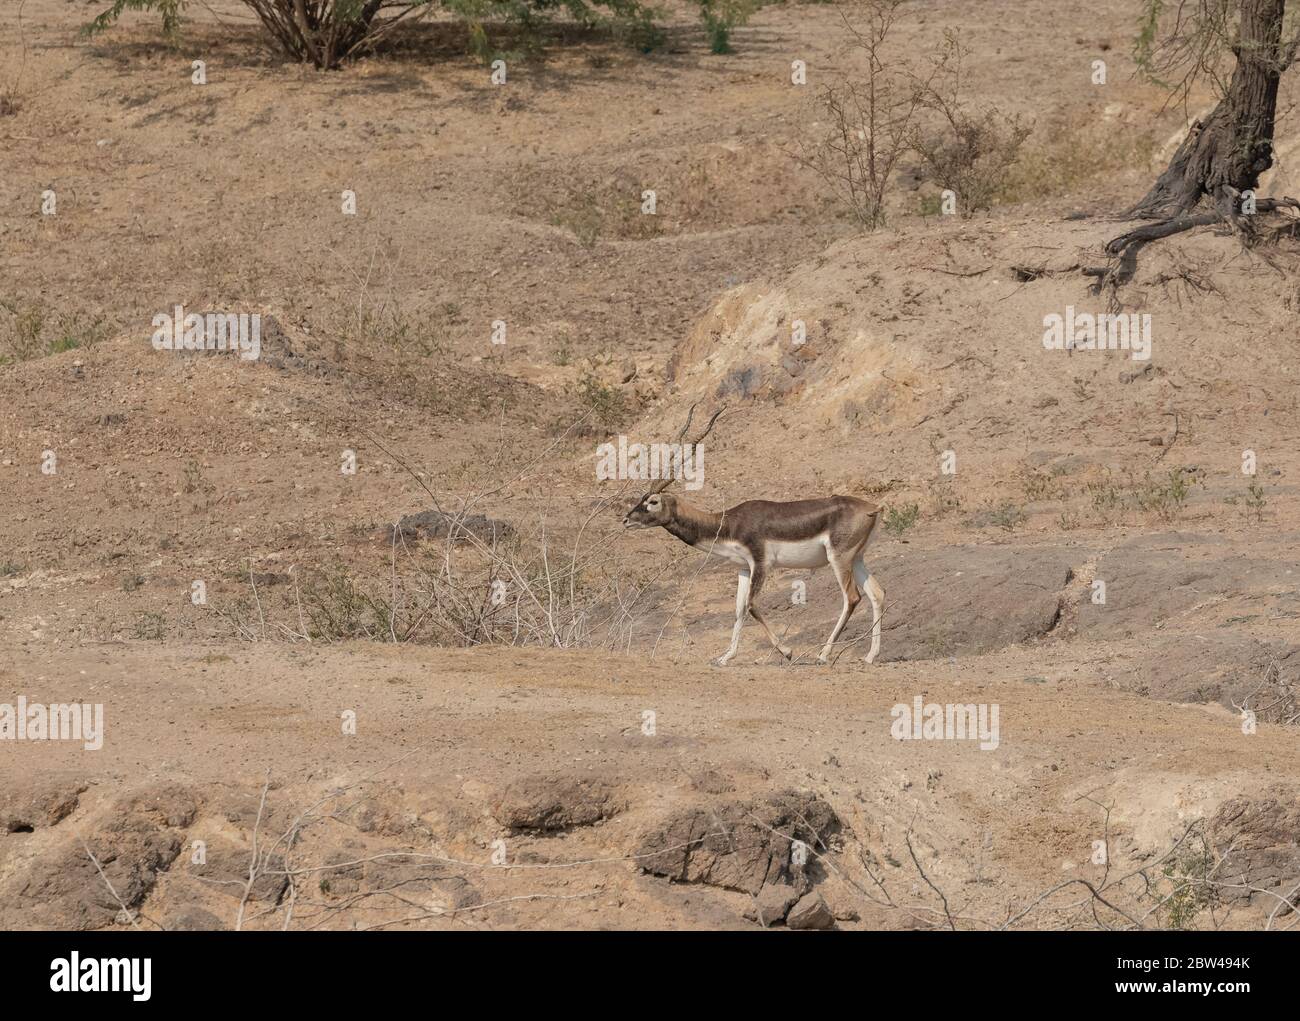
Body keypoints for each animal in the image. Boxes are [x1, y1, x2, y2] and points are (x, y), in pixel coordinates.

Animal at [621, 405, 885, 667]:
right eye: (641, 499)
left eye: (653, 501)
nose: (626, 520)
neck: (728, 523)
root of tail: (872, 507)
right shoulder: (743, 568)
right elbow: (738, 609)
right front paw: (725, 657)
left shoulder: (761, 563)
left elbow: (751, 605)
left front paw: (787, 651)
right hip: (856, 559)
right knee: (877, 594)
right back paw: (870, 656)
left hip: (838, 559)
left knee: (852, 597)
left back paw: (823, 654)